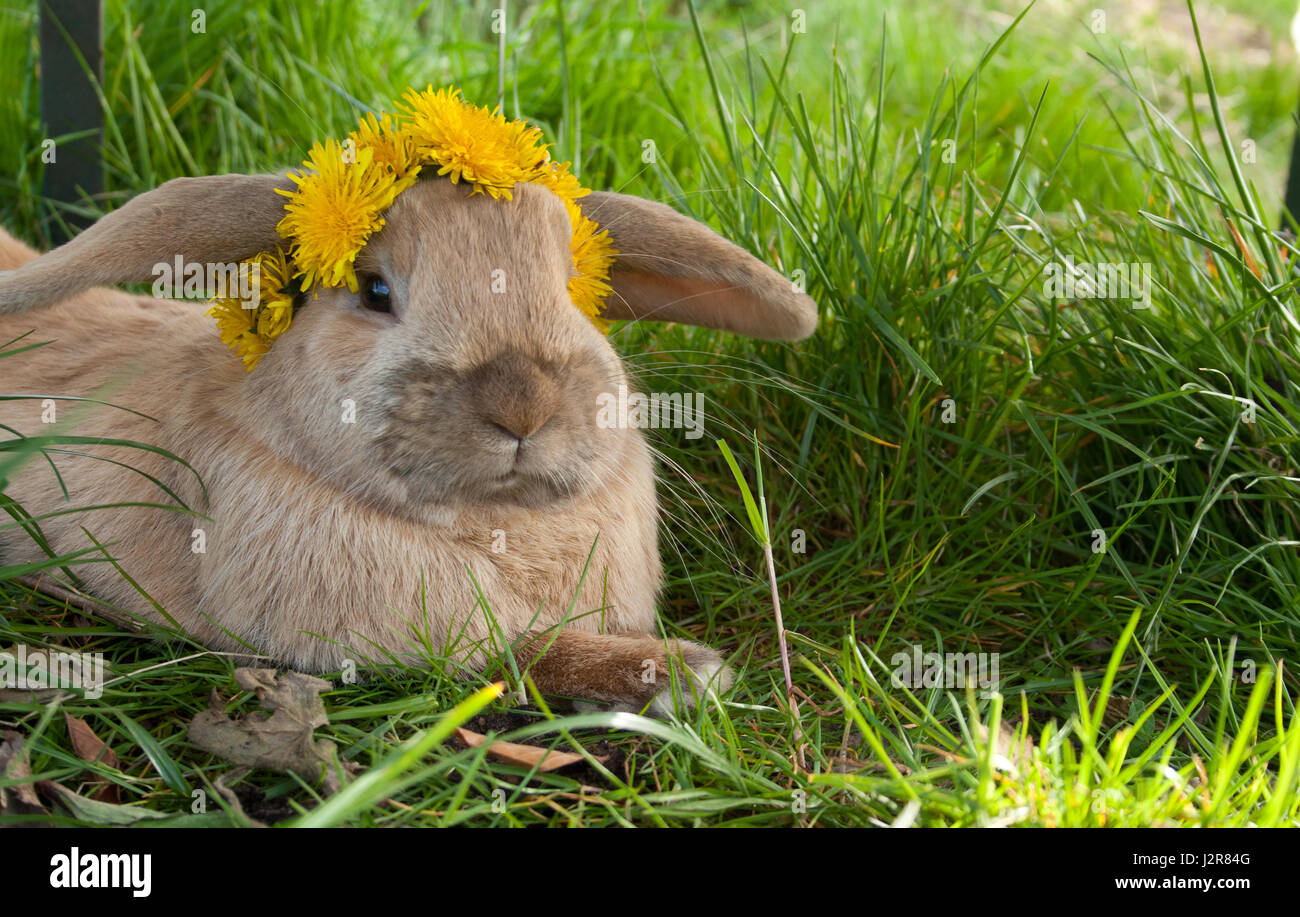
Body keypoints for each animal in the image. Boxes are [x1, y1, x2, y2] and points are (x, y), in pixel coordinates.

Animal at [0, 171, 817, 713]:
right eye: (374, 291)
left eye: (574, 285)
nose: (522, 404)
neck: (502, 522)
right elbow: (519, 655)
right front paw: (683, 670)